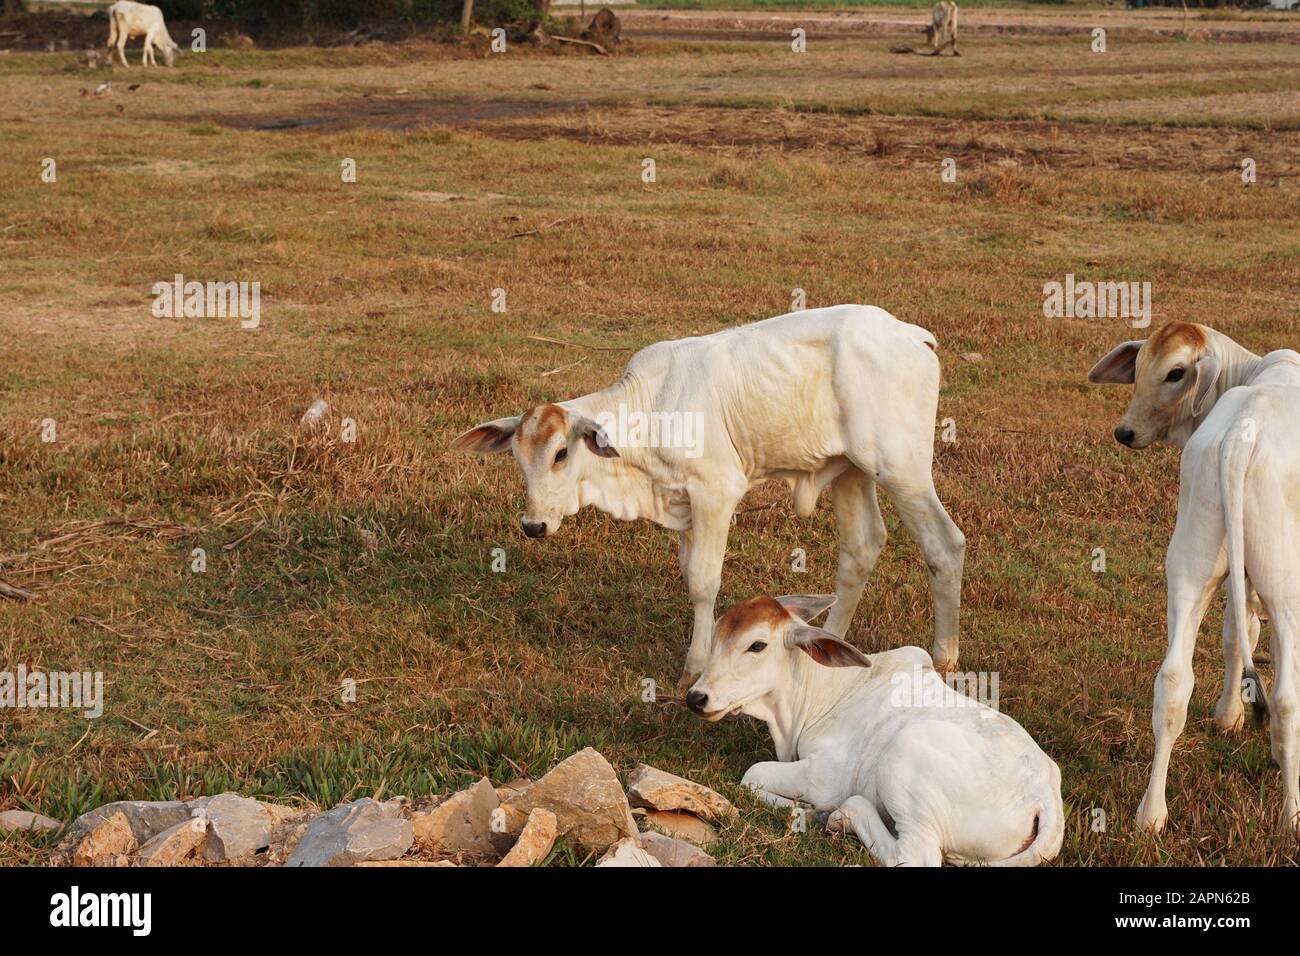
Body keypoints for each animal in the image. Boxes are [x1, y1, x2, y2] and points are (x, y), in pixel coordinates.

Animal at [451, 305, 966, 685]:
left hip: (902, 470)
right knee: (860, 548)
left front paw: (694, 666)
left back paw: (944, 658)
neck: (650, 410)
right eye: (518, 458)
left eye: (560, 453)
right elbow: (688, 572)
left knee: (945, 545)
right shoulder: (683, 503)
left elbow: (703, 581)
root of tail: (911, 334)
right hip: (851, 472)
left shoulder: (716, 493)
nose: (533, 525)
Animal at [685, 594, 1063, 866]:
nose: (696, 697)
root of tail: (1044, 795)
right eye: (716, 637)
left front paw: (811, 810)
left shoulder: (825, 777)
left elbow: (752, 774)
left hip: (904, 755)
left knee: (914, 855)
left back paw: (841, 814)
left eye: (757, 645)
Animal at [1089, 321, 1300, 832]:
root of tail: (1240, 439)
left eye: (1175, 372)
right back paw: (1291, 816)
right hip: (1283, 582)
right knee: (1286, 700)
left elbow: (1236, 635)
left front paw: (1228, 715)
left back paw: (1151, 814)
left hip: (1189, 567)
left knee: (1172, 682)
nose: (1125, 431)